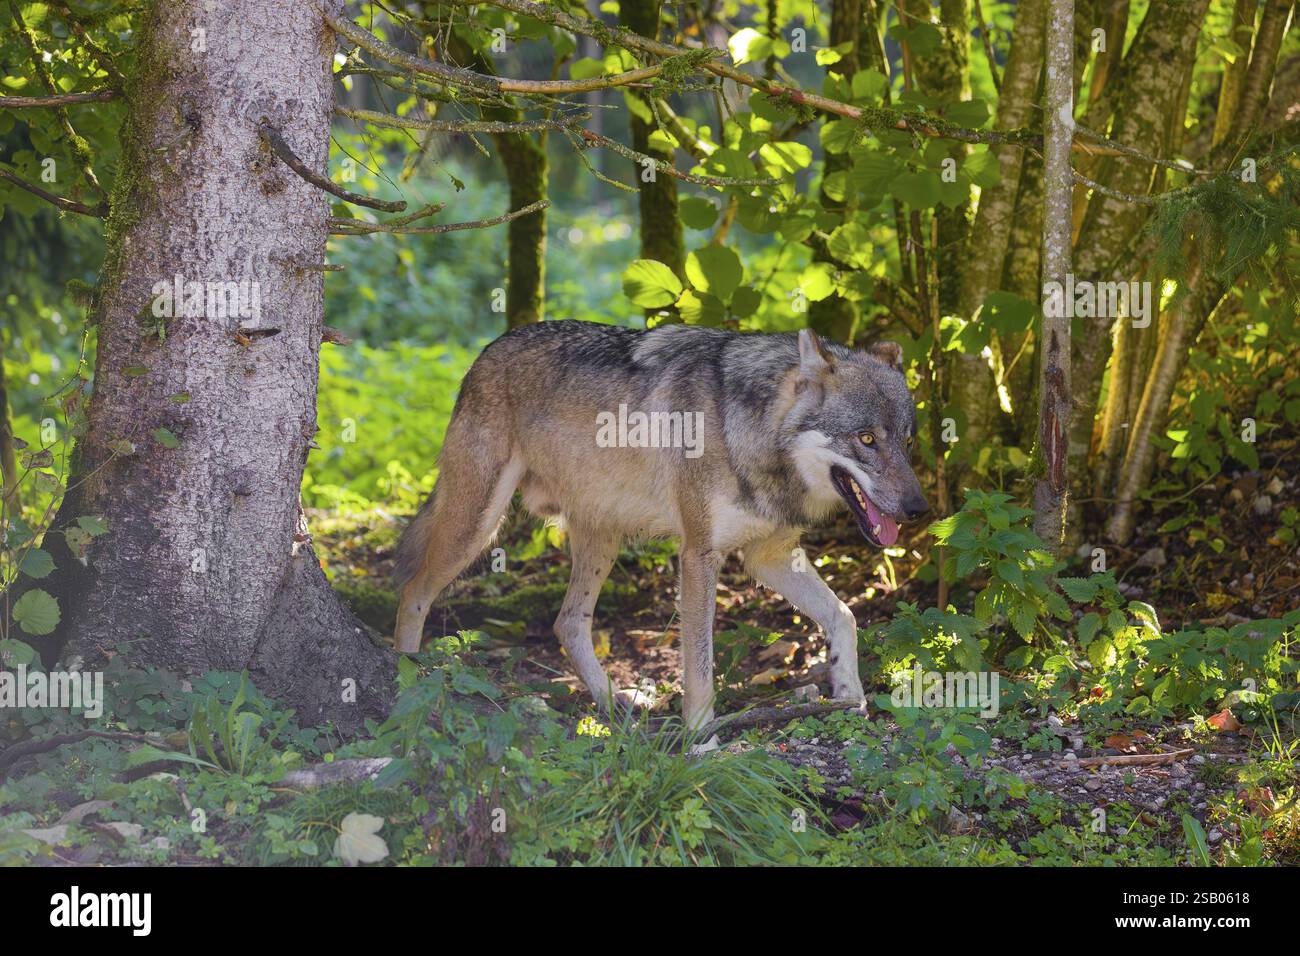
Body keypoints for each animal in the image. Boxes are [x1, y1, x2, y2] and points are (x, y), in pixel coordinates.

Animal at [394, 320, 929, 746]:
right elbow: (700, 668)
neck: (748, 431)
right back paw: (406, 677)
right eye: (866, 439)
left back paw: (616, 705)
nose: (919, 509)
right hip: (477, 527)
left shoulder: (768, 556)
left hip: (601, 539)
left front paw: (852, 701)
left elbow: (844, 617)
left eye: (907, 441)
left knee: (568, 623)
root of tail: (487, 350)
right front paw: (703, 744)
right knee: (413, 591)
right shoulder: (698, 556)